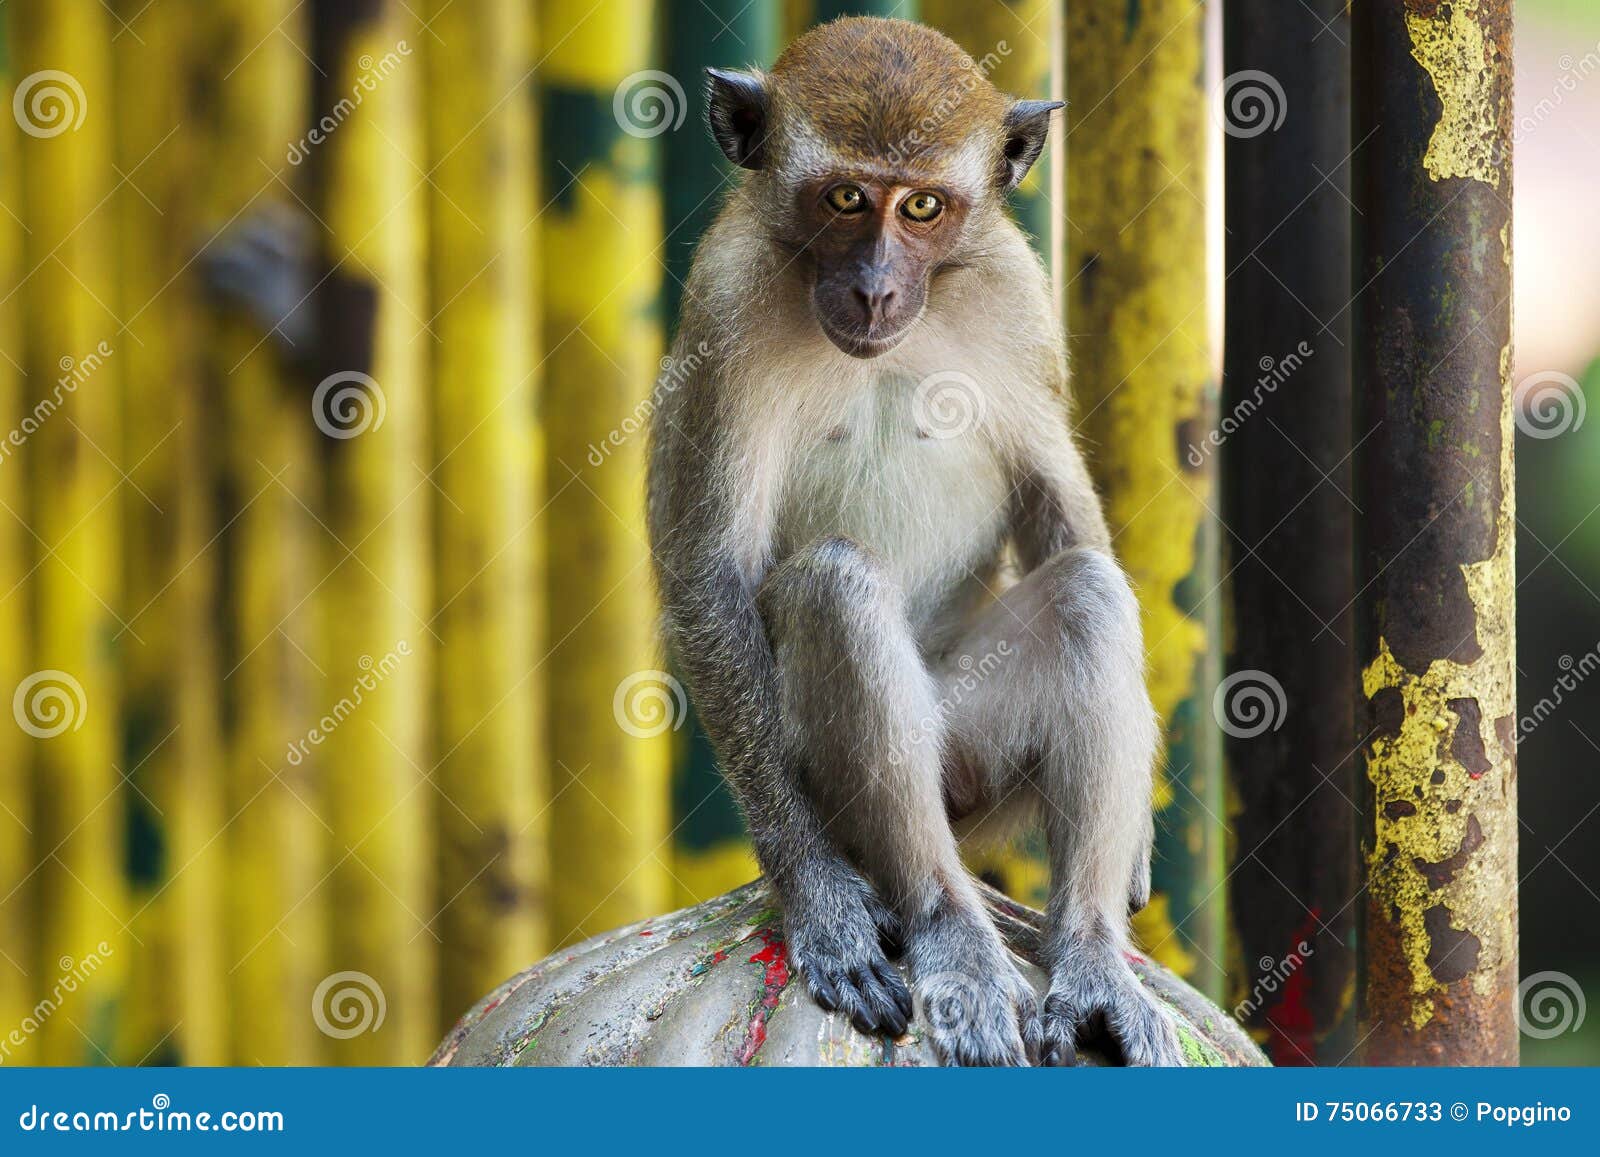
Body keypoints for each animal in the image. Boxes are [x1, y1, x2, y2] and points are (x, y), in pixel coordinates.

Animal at [647, 17, 1181, 1067]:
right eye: (846, 198)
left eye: (925, 206)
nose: (877, 288)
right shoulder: (725, 307)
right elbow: (709, 572)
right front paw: (817, 893)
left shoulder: (1017, 291)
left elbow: (1052, 496)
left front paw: (1136, 840)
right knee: (835, 587)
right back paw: (949, 929)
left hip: (975, 764)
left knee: (1088, 592)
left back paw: (1091, 954)